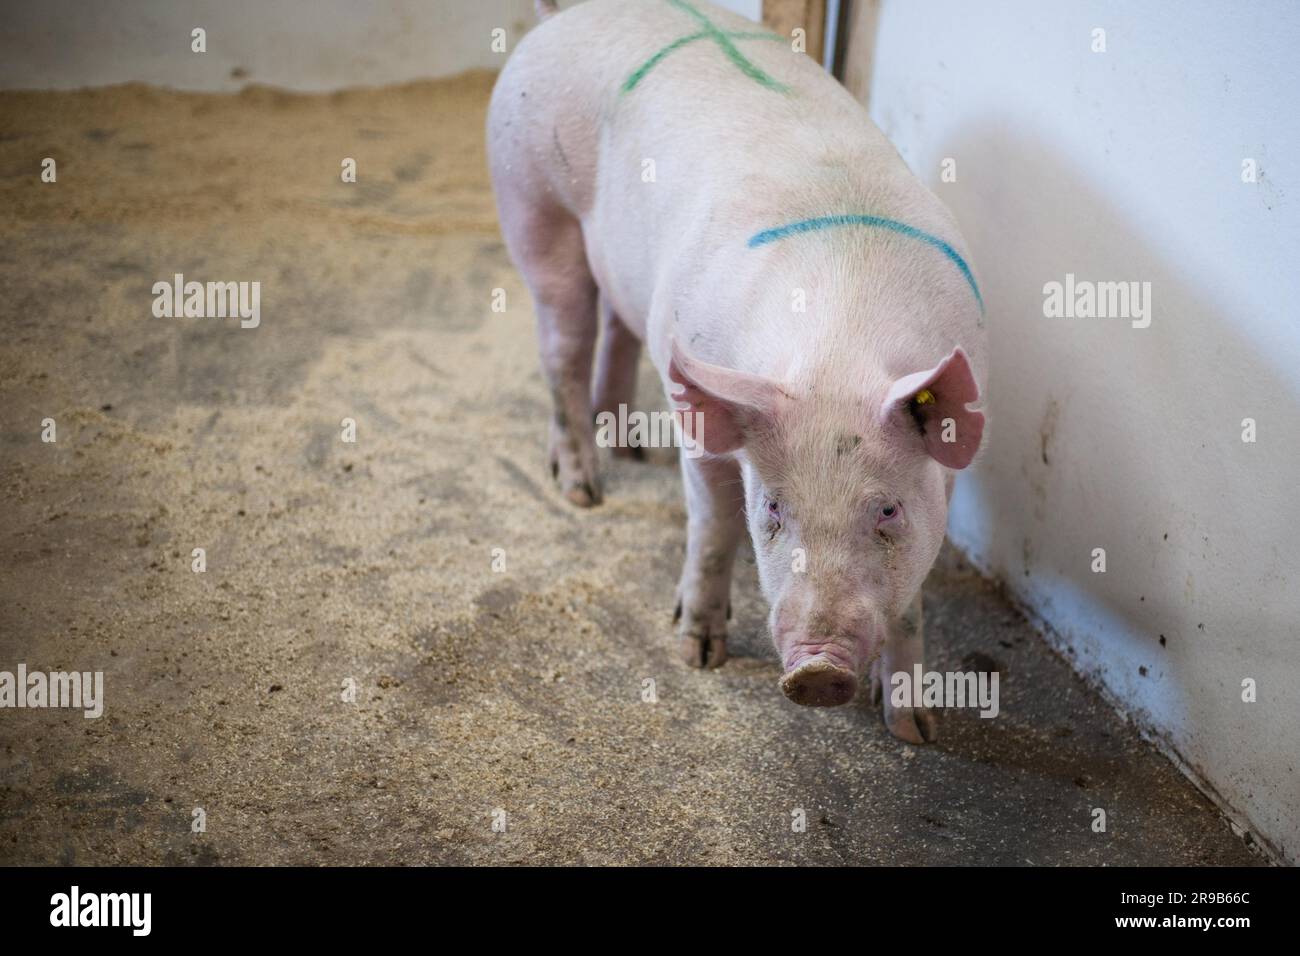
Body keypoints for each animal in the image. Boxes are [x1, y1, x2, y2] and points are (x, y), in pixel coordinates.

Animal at [487, 0, 987, 743]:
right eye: (774, 506)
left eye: (888, 508)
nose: (818, 670)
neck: (837, 353)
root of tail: (566, 15)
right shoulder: (705, 432)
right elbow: (714, 525)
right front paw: (698, 654)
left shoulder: (943, 477)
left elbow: (913, 600)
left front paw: (916, 730)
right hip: (530, 197)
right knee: (562, 344)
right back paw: (583, 489)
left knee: (617, 327)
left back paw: (627, 444)